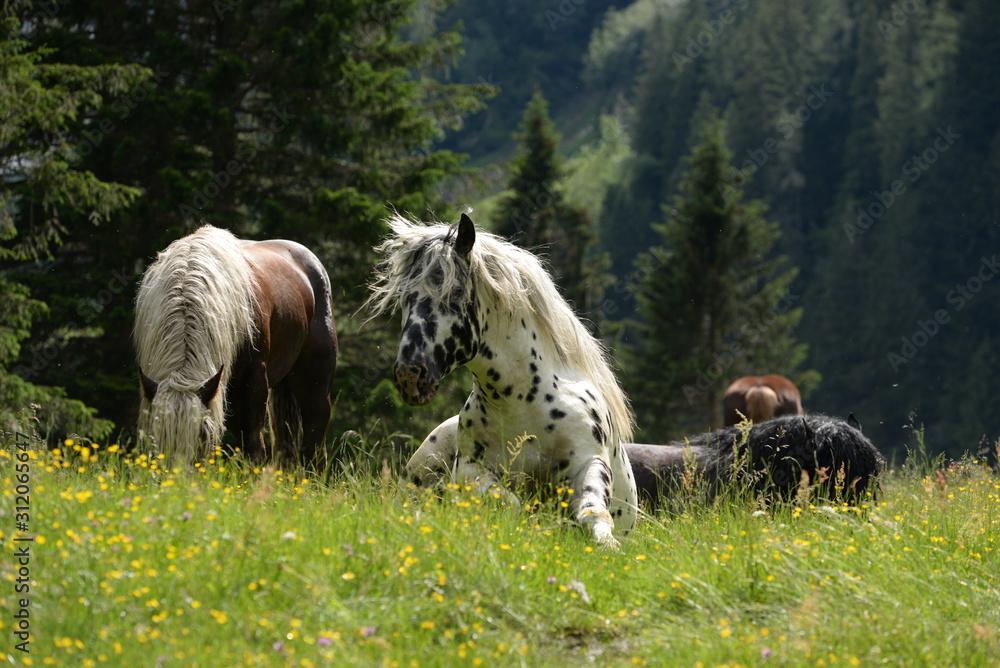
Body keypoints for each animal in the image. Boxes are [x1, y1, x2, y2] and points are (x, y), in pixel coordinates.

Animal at [134, 225, 338, 464]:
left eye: (203, 435)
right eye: (157, 436)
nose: (179, 473)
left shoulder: (254, 380)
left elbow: (254, 444)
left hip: (314, 381)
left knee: (315, 435)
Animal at [366, 213, 637, 549]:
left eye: (456, 292)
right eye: (405, 298)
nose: (409, 376)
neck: (523, 403)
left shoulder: (589, 462)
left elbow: (592, 513)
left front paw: (608, 546)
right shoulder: (469, 468)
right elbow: (510, 503)